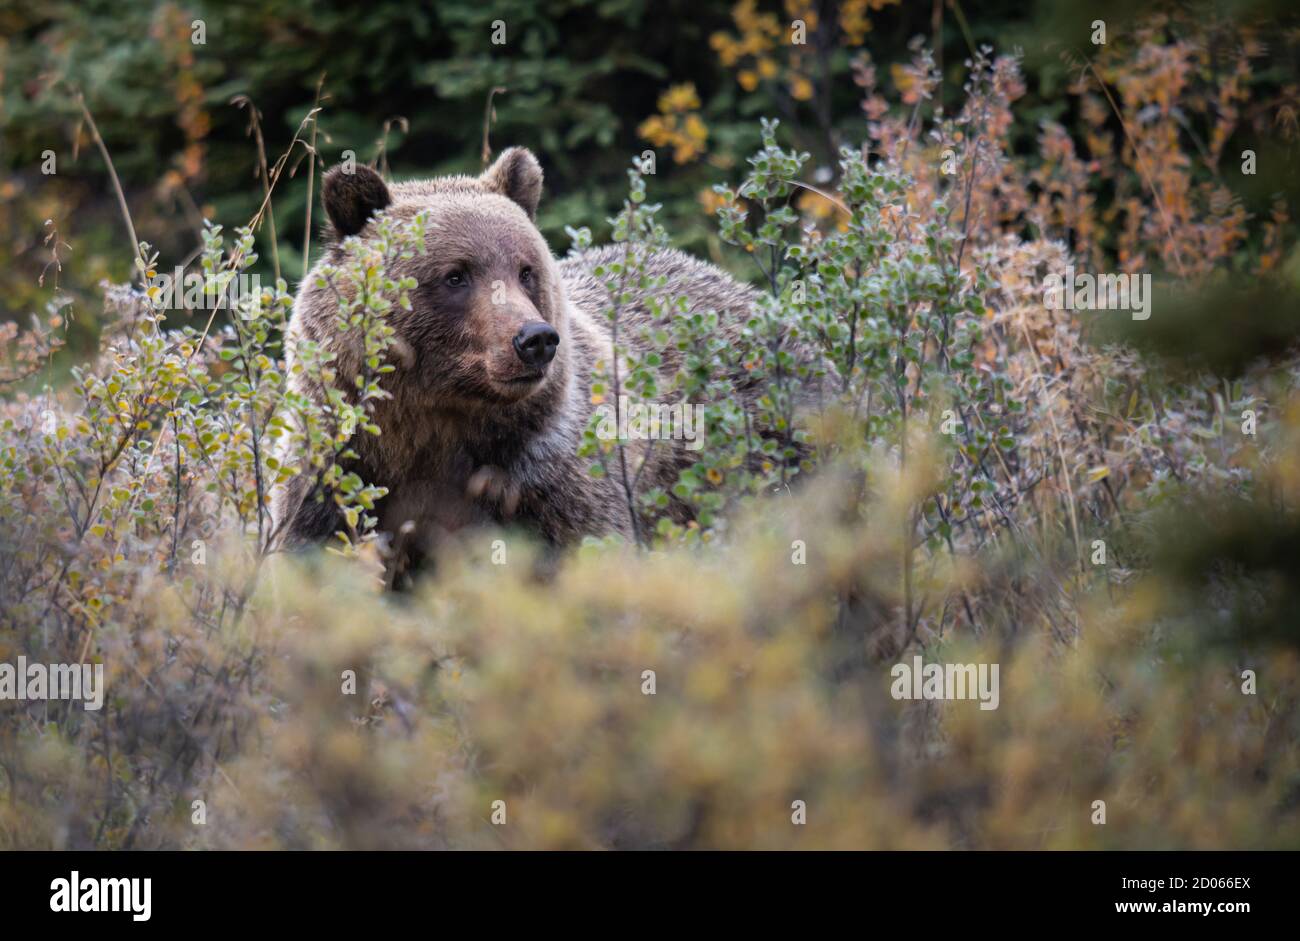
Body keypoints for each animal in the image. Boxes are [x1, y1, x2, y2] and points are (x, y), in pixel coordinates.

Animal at [270, 147, 772, 570]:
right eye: (456, 275)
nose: (536, 339)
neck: (434, 423)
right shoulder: (336, 471)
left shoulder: (548, 479)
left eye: (526, 270)